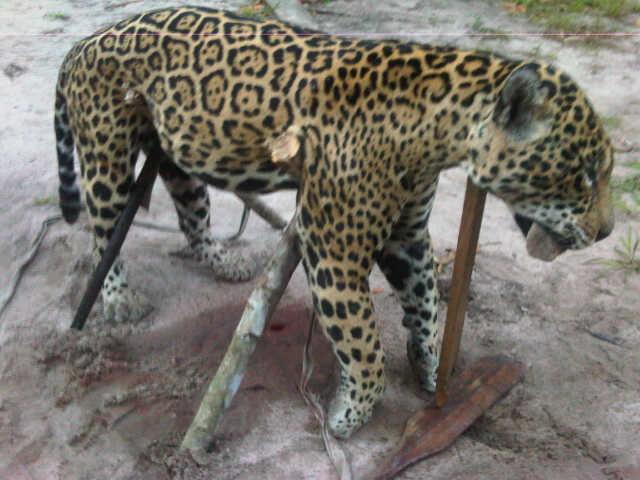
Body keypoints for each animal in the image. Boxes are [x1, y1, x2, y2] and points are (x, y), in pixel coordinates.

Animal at [54, 6, 615, 439]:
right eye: (587, 174)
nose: (608, 231)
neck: (439, 131)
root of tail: (85, 41)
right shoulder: (334, 250)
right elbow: (364, 344)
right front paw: (353, 412)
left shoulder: (407, 235)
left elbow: (427, 305)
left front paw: (433, 370)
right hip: (106, 155)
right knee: (102, 231)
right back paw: (119, 299)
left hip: (176, 157)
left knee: (192, 215)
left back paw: (224, 262)